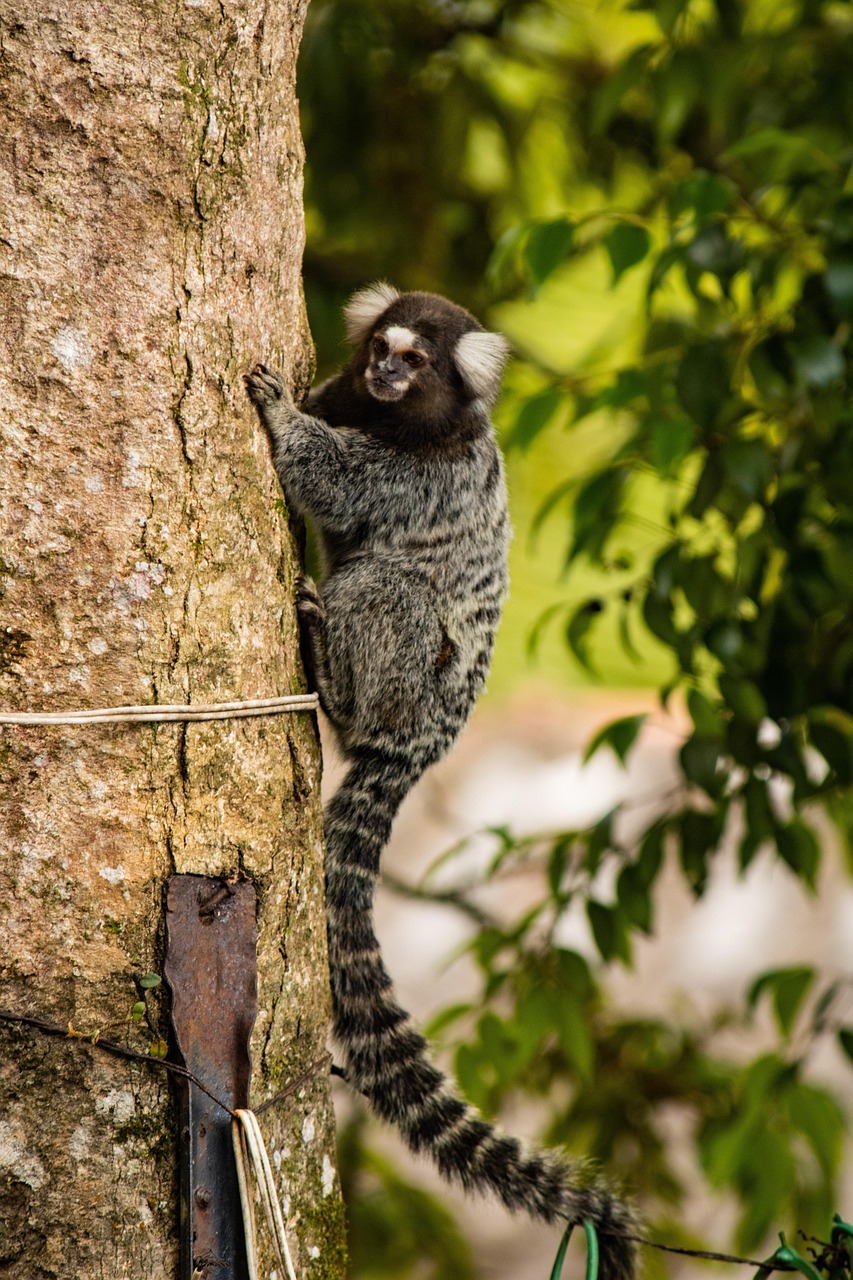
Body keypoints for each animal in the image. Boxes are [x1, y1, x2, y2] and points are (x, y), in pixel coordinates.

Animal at [245, 284, 638, 1280]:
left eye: (415, 361)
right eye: (381, 348)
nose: (386, 373)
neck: (399, 421)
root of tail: (423, 741)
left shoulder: (419, 477)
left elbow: (331, 478)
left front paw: (279, 415)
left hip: (411, 678)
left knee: (387, 582)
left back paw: (329, 668)